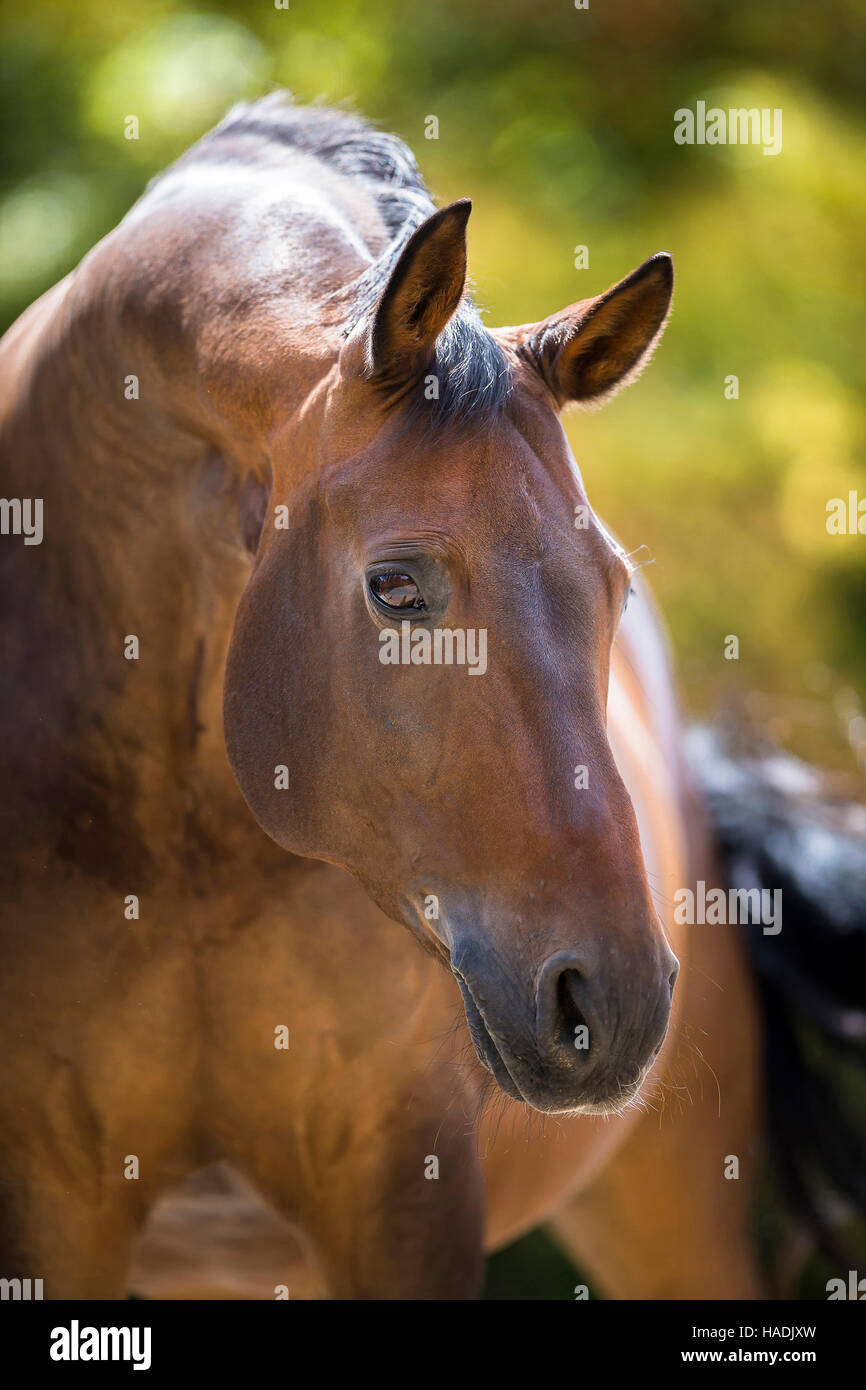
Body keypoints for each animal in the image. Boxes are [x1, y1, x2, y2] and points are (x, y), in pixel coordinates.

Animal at [0, 94, 855, 1301]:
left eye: (612, 586)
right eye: (395, 586)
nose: (613, 1002)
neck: (177, 849)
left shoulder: (406, 1190)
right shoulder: (48, 1199)